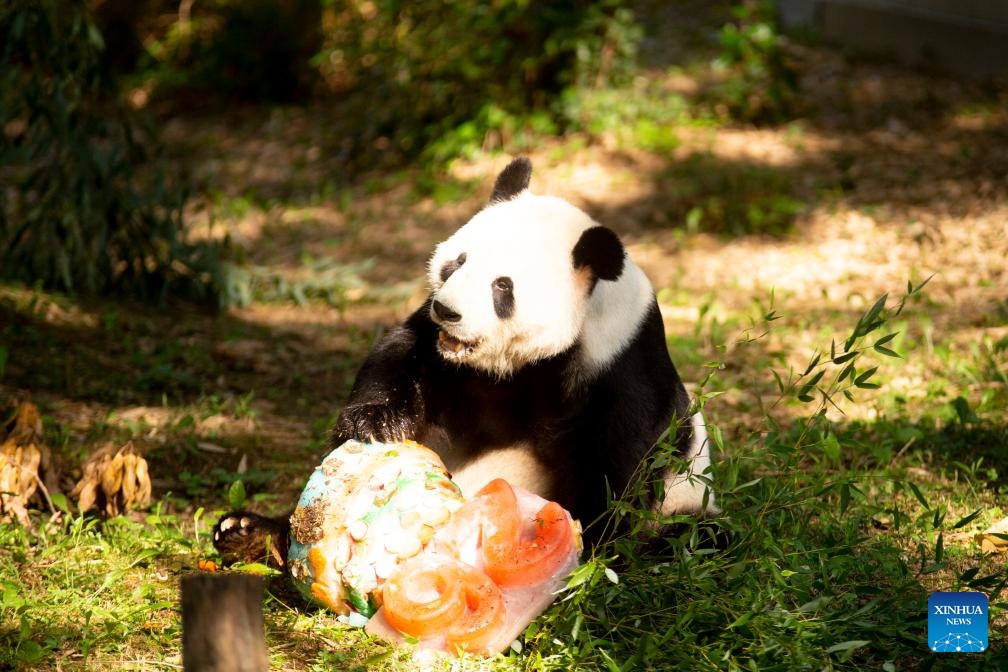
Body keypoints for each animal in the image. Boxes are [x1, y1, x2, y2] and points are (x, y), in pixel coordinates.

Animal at [214, 157, 716, 563]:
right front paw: (376, 423)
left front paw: (582, 550)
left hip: (691, 504)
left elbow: (618, 475)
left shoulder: (621, 365)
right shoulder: (443, 352)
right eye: (457, 262)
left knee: (698, 538)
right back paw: (250, 533)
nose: (448, 310)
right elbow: (400, 355)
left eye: (503, 286)